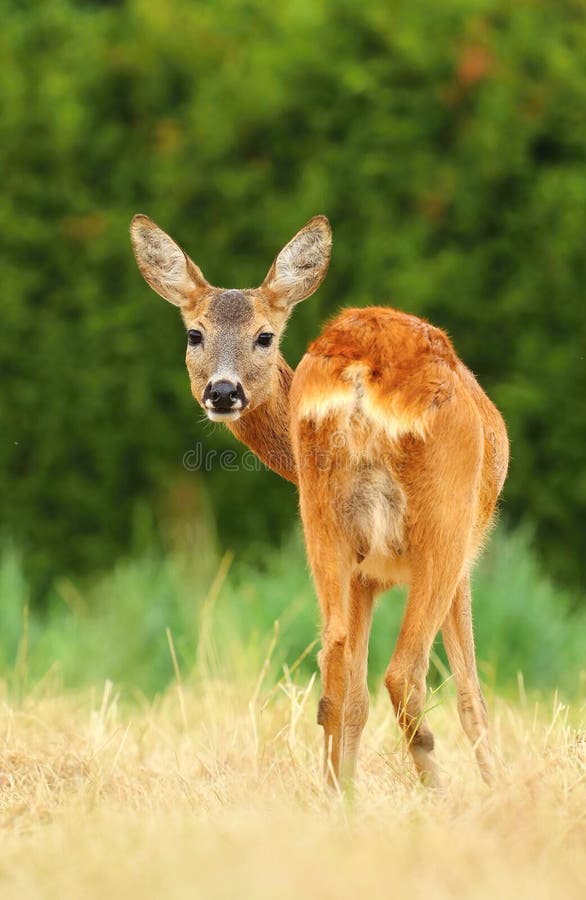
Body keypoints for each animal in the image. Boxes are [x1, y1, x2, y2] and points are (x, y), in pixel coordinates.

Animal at [130, 213, 509, 790]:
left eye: (264, 336)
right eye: (195, 334)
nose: (223, 392)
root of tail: (360, 373)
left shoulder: (365, 574)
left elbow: (353, 698)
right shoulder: (463, 556)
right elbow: (471, 694)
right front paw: (501, 790)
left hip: (323, 521)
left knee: (333, 661)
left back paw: (338, 795)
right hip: (443, 519)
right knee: (404, 673)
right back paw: (440, 791)